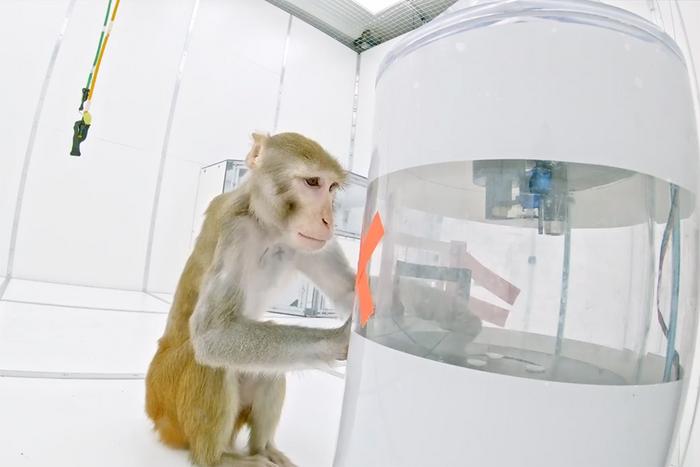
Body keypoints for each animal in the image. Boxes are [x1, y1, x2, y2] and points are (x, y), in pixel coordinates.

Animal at [145, 132, 357, 467]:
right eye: (313, 182)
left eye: (332, 187)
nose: (328, 219)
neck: (267, 226)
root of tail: (152, 408)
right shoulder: (236, 232)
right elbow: (212, 335)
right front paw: (337, 340)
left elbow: (346, 292)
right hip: (168, 401)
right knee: (210, 359)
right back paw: (218, 458)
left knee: (269, 365)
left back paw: (264, 449)